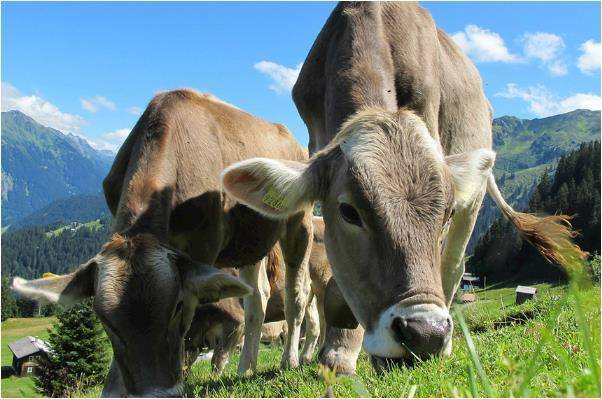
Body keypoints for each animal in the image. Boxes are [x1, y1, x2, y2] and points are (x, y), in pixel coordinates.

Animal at [11, 90, 312, 396]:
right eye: (104, 320)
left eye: (177, 306)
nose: (154, 391)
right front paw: (114, 387)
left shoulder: (204, 247)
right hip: (250, 243)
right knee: (257, 298)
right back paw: (246, 368)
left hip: (299, 222)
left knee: (297, 294)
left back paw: (291, 360)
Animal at [220, 1, 580, 370]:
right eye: (349, 212)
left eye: (446, 213)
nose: (427, 334)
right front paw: (339, 352)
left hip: (475, 195)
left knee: (454, 264)